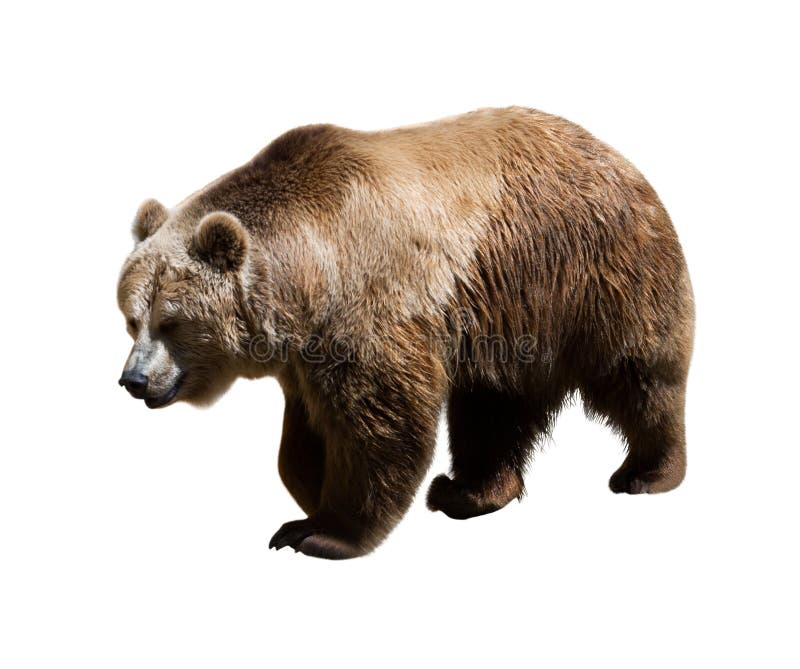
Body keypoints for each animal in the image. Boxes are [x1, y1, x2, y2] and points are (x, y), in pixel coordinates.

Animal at [117, 107, 694, 559]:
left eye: (173, 321)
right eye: (130, 317)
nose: (133, 380)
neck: (306, 278)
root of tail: (611, 151)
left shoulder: (368, 308)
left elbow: (380, 423)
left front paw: (321, 532)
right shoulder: (304, 353)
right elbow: (305, 435)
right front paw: (308, 496)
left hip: (590, 271)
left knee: (637, 372)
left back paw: (646, 472)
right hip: (507, 317)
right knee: (493, 405)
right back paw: (469, 492)